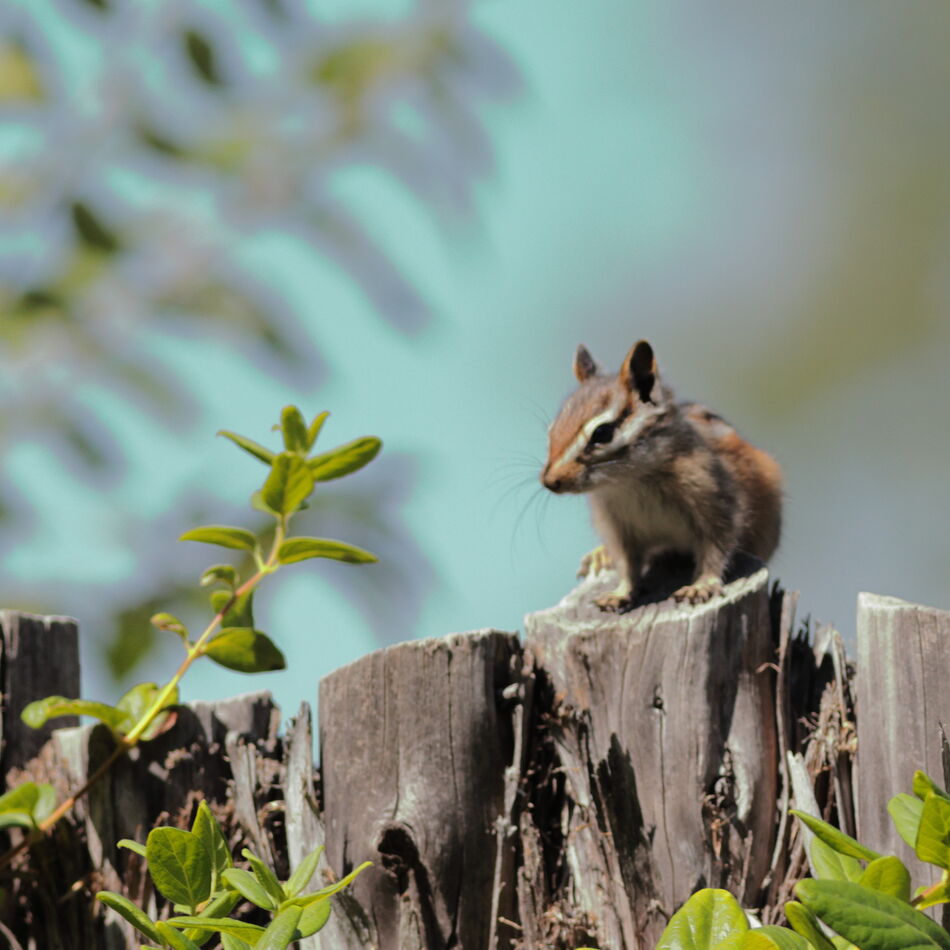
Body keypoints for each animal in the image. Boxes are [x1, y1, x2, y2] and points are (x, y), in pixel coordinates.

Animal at [541, 340, 782, 609]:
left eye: (602, 432)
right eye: (552, 431)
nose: (550, 481)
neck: (630, 480)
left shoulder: (717, 502)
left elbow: (716, 549)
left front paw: (701, 586)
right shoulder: (616, 526)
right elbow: (626, 563)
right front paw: (620, 592)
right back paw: (600, 555)